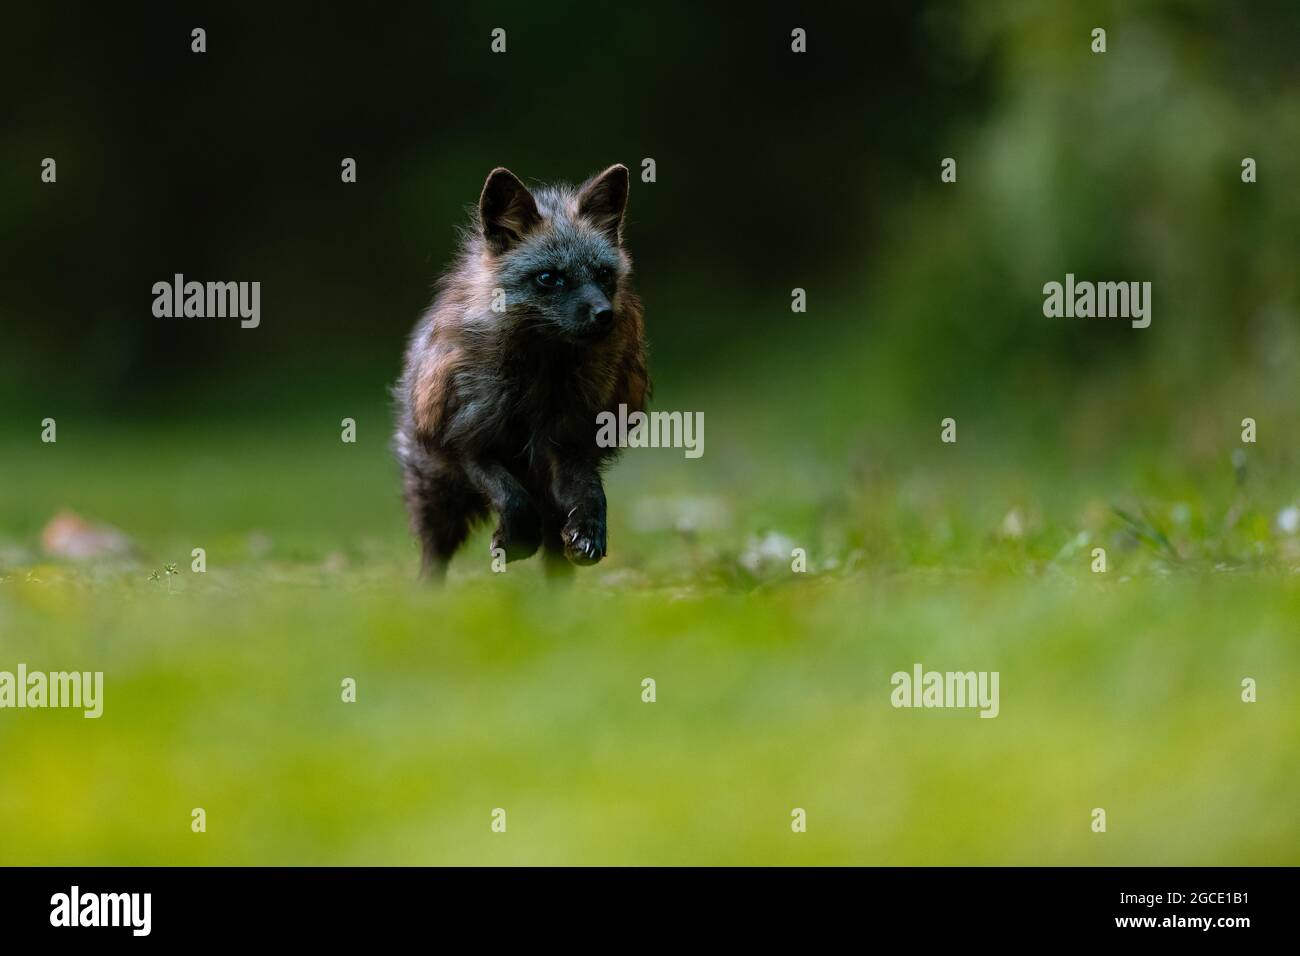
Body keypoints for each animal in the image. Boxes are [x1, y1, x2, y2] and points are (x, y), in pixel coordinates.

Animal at [393, 164, 649, 580]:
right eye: (549, 278)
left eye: (603, 275)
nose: (604, 315)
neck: (538, 381)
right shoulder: (467, 444)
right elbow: (512, 498)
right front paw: (513, 542)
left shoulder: (568, 447)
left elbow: (592, 495)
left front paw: (588, 532)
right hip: (437, 495)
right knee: (434, 557)